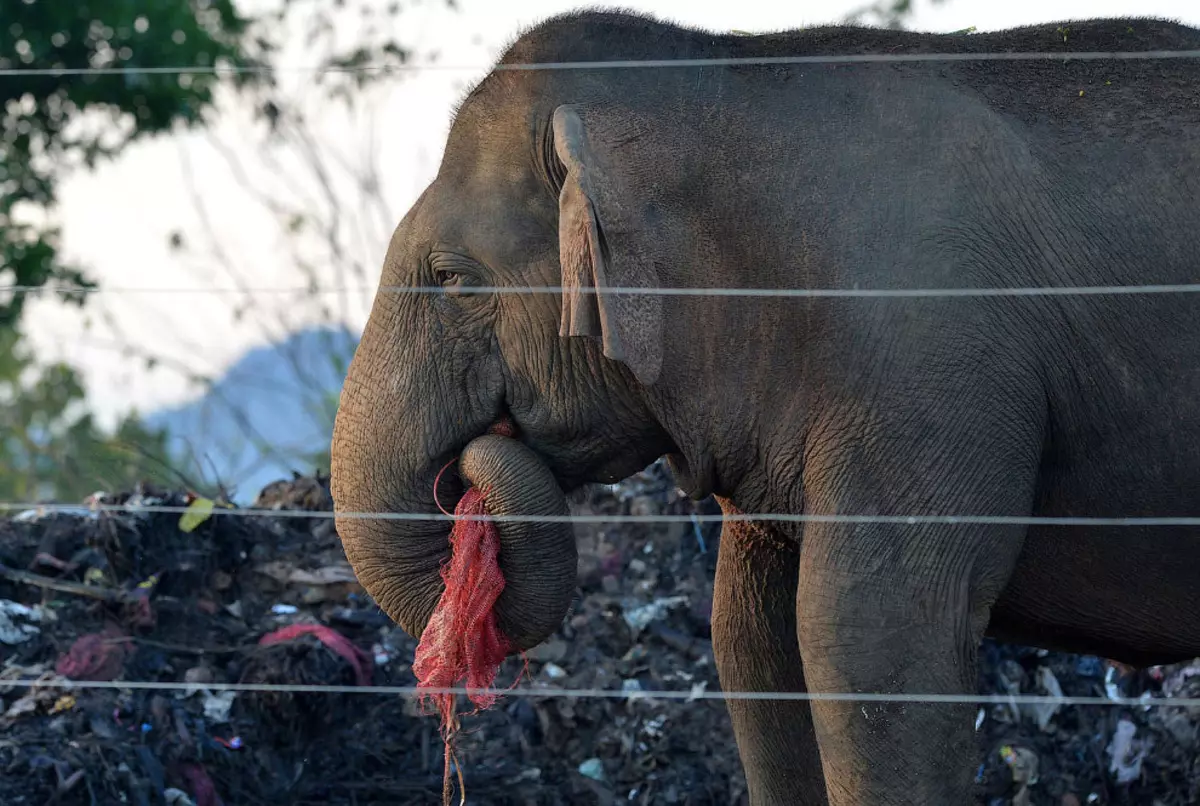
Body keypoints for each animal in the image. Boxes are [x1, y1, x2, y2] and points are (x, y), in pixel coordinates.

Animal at [333, 12, 1200, 806]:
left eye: (451, 279)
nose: (472, 464)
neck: (732, 65)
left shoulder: (928, 363)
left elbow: (866, 633)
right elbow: (751, 635)